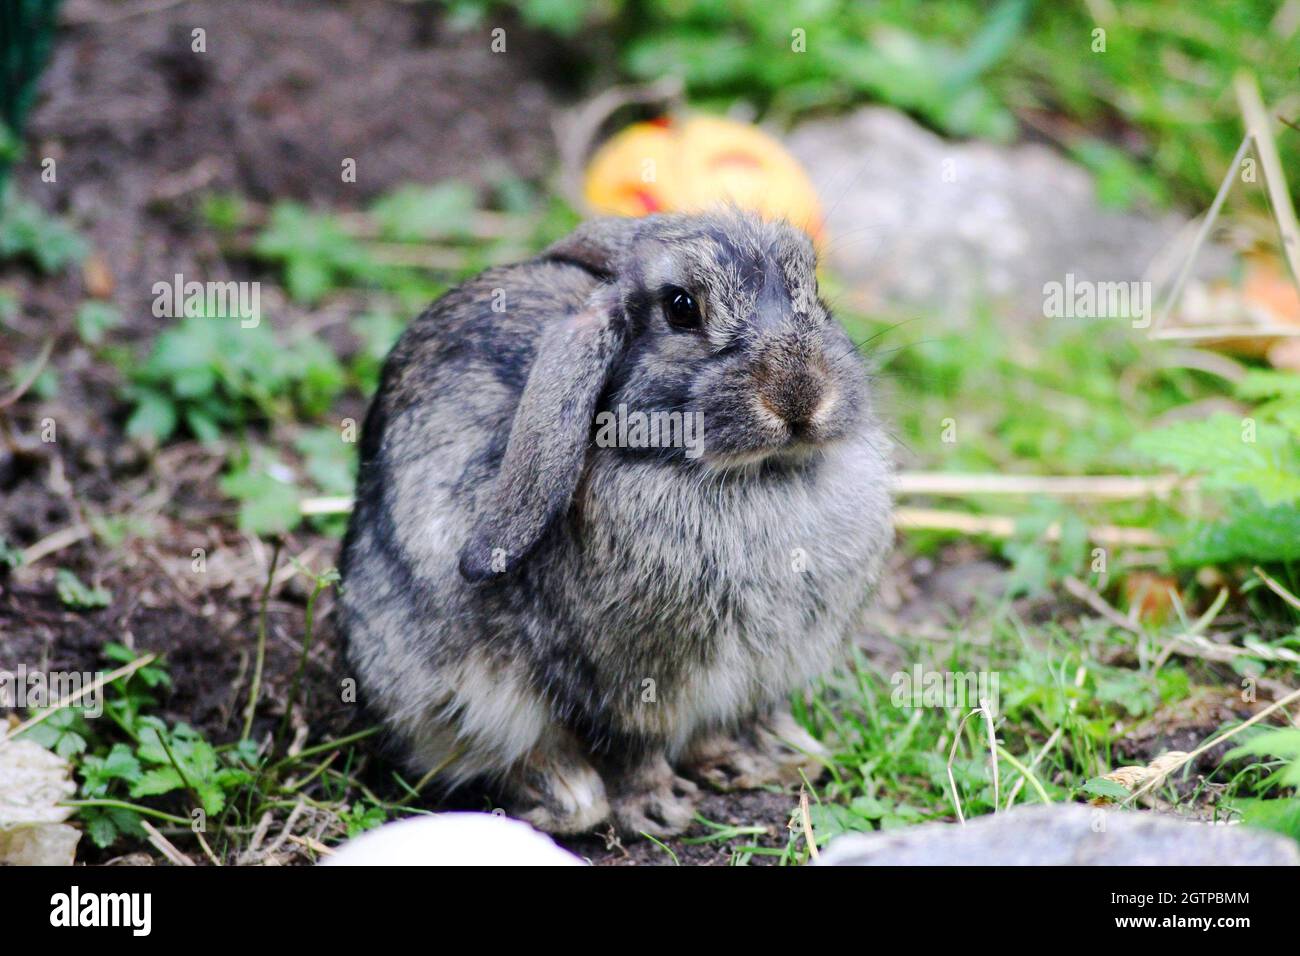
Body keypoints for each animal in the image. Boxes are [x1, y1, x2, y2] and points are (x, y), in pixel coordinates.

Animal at [338, 208, 893, 837]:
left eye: (814, 284)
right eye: (681, 307)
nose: (801, 394)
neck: (753, 475)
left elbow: (724, 725)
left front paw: (761, 759)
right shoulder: (623, 683)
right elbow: (631, 748)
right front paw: (659, 811)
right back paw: (565, 796)